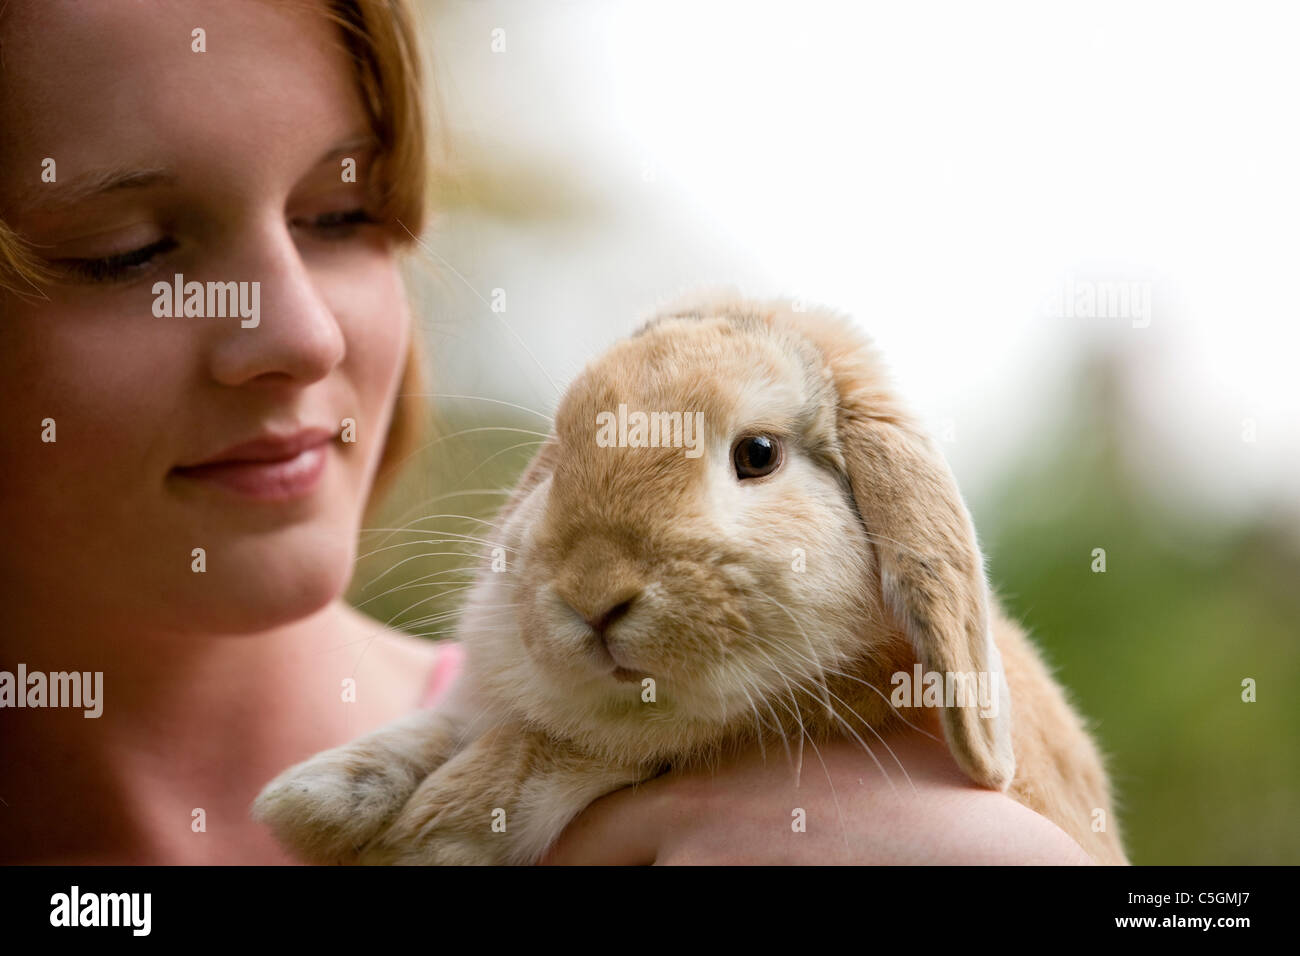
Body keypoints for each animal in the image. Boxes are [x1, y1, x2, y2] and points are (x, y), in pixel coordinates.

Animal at [252, 290, 1129, 866]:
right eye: (559, 456)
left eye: (758, 454)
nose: (592, 592)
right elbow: (440, 725)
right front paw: (310, 799)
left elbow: (557, 751)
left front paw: (437, 827)